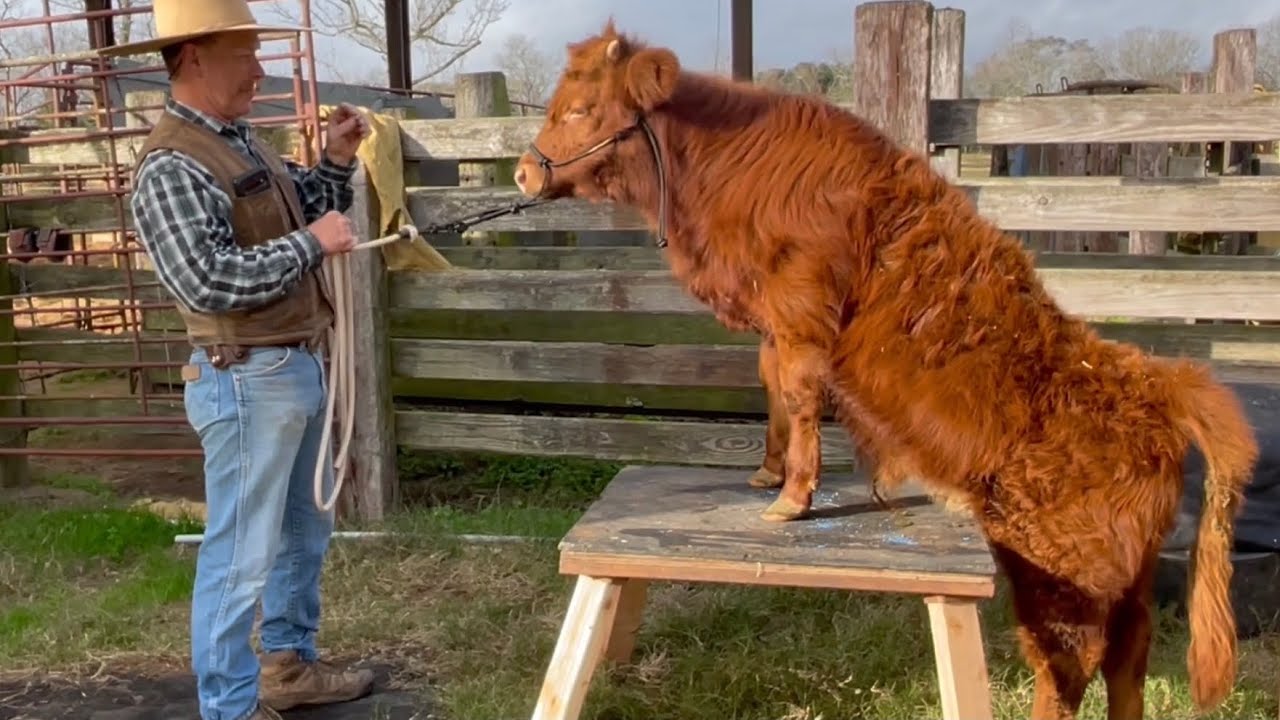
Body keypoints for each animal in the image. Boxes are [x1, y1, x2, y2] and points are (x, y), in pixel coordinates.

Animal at [511, 21, 1258, 720]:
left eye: (580, 109)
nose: (523, 172)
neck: (729, 167)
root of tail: (1152, 381)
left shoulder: (800, 311)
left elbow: (800, 395)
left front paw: (792, 498)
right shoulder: (775, 321)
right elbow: (772, 387)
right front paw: (768, 473)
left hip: (1066, 581)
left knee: (1069, 671)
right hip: (1123, 587)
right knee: (1127, 663)